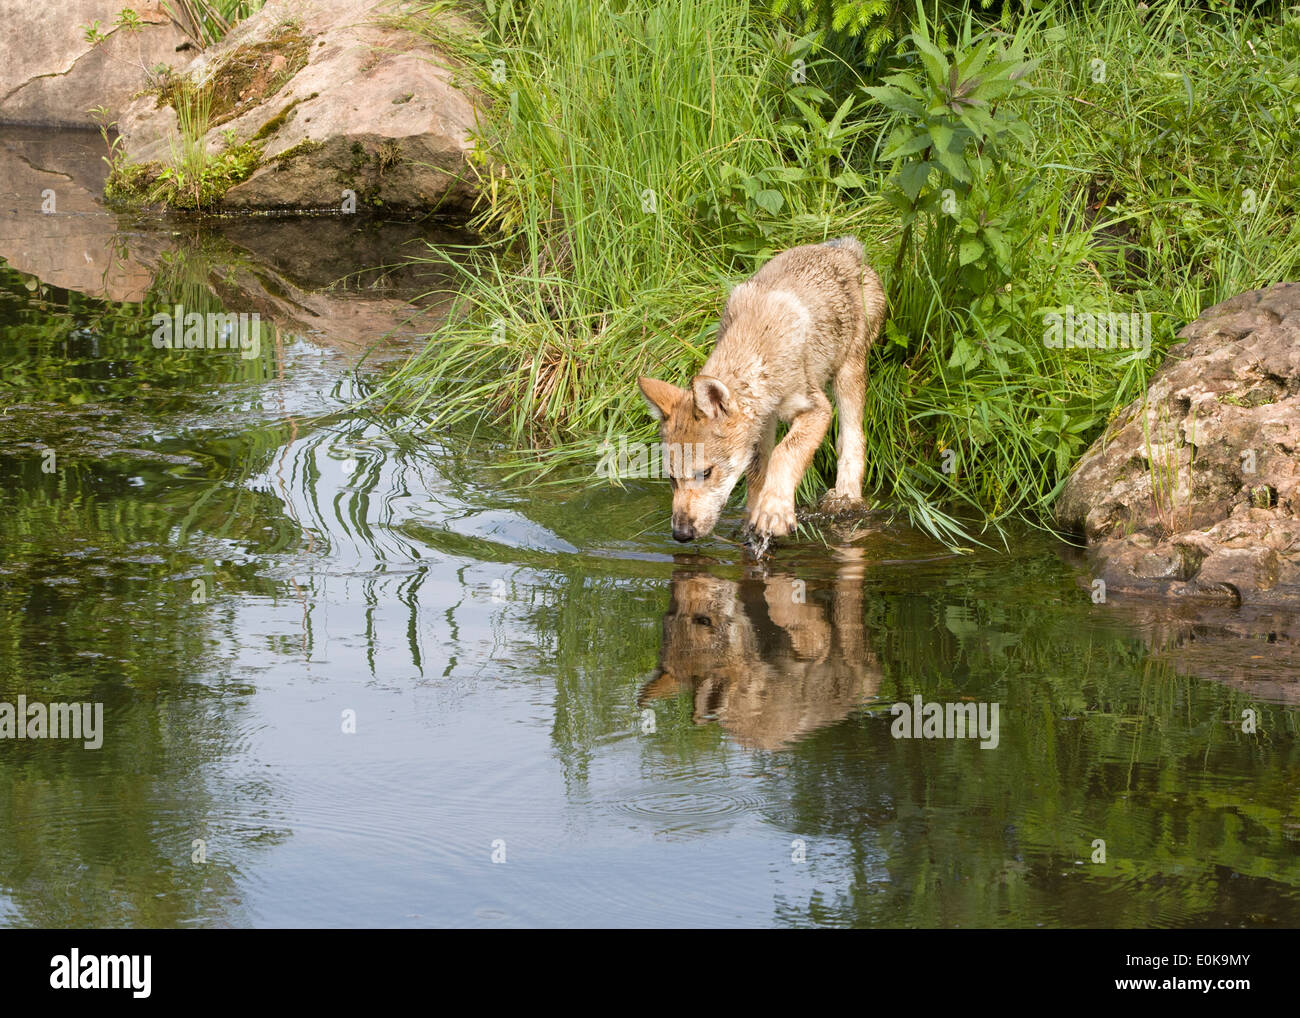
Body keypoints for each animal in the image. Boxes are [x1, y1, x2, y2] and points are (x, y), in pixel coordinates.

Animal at [638, 237, 886, 543]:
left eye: (705, 473)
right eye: (672, 478)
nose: (680, 533)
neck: (760, 348)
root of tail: (846, 250)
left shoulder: (816, 409)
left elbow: (784, 453)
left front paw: (773, 514)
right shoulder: (763, 424)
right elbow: (758, 472)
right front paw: (753, 523)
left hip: (848, 374)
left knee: (852, 439)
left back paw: (845, 498)